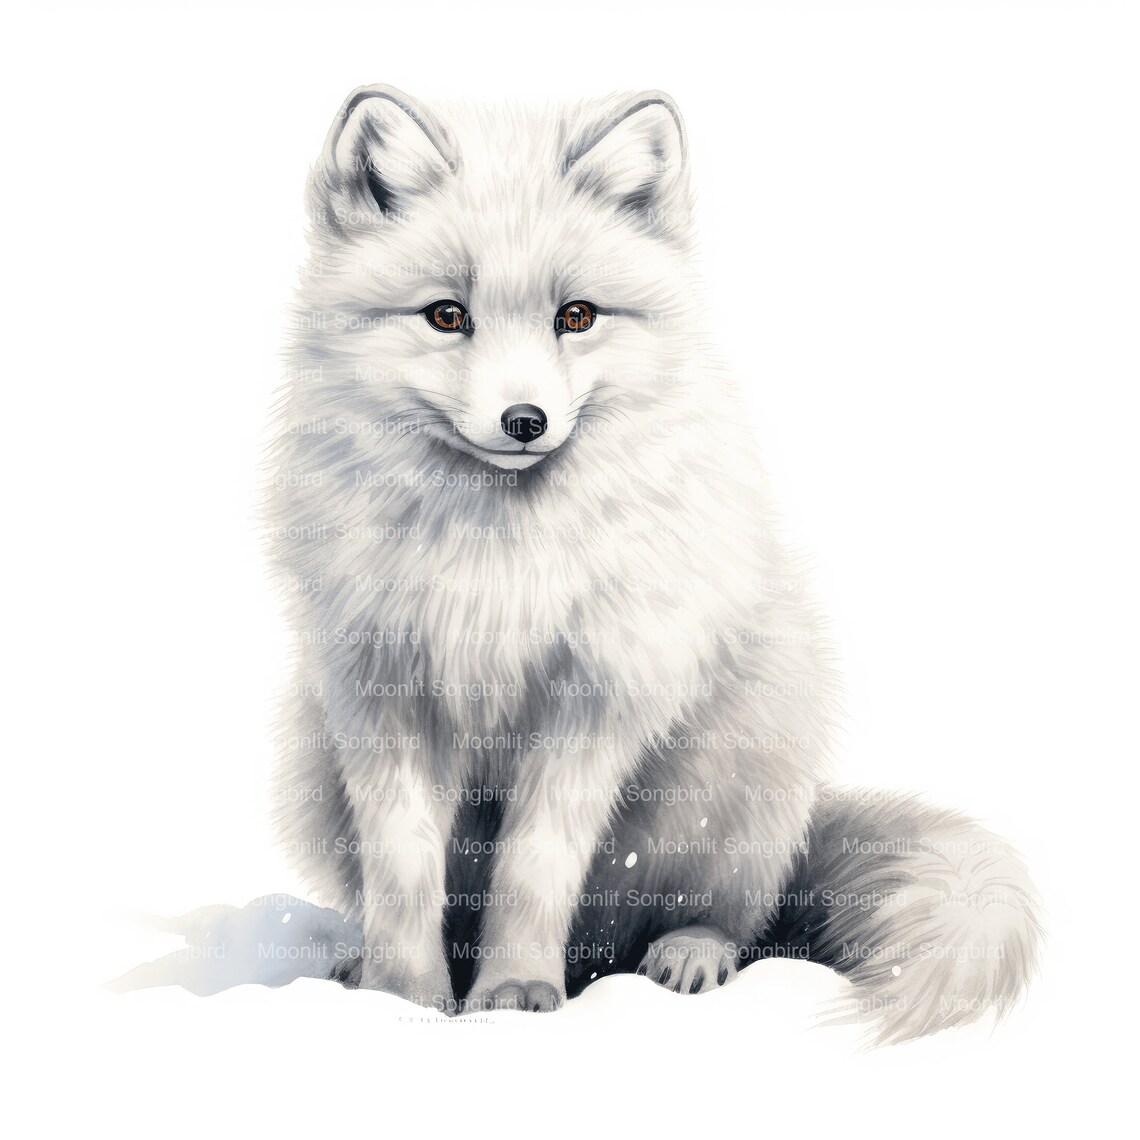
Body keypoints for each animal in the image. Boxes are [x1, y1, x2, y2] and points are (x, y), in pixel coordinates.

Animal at [265, 84, 1041, 1042]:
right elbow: (404, 868)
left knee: (735, 918)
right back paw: (365, 967)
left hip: (738, 776)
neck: (498, 562)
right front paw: (401, 1000)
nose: (525, 422)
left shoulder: (599, 689)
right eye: (448, 315)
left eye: (576, 316)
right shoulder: (382, 688)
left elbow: (534, 864)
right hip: (310, 766)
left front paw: (512, 995)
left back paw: (684, 953)